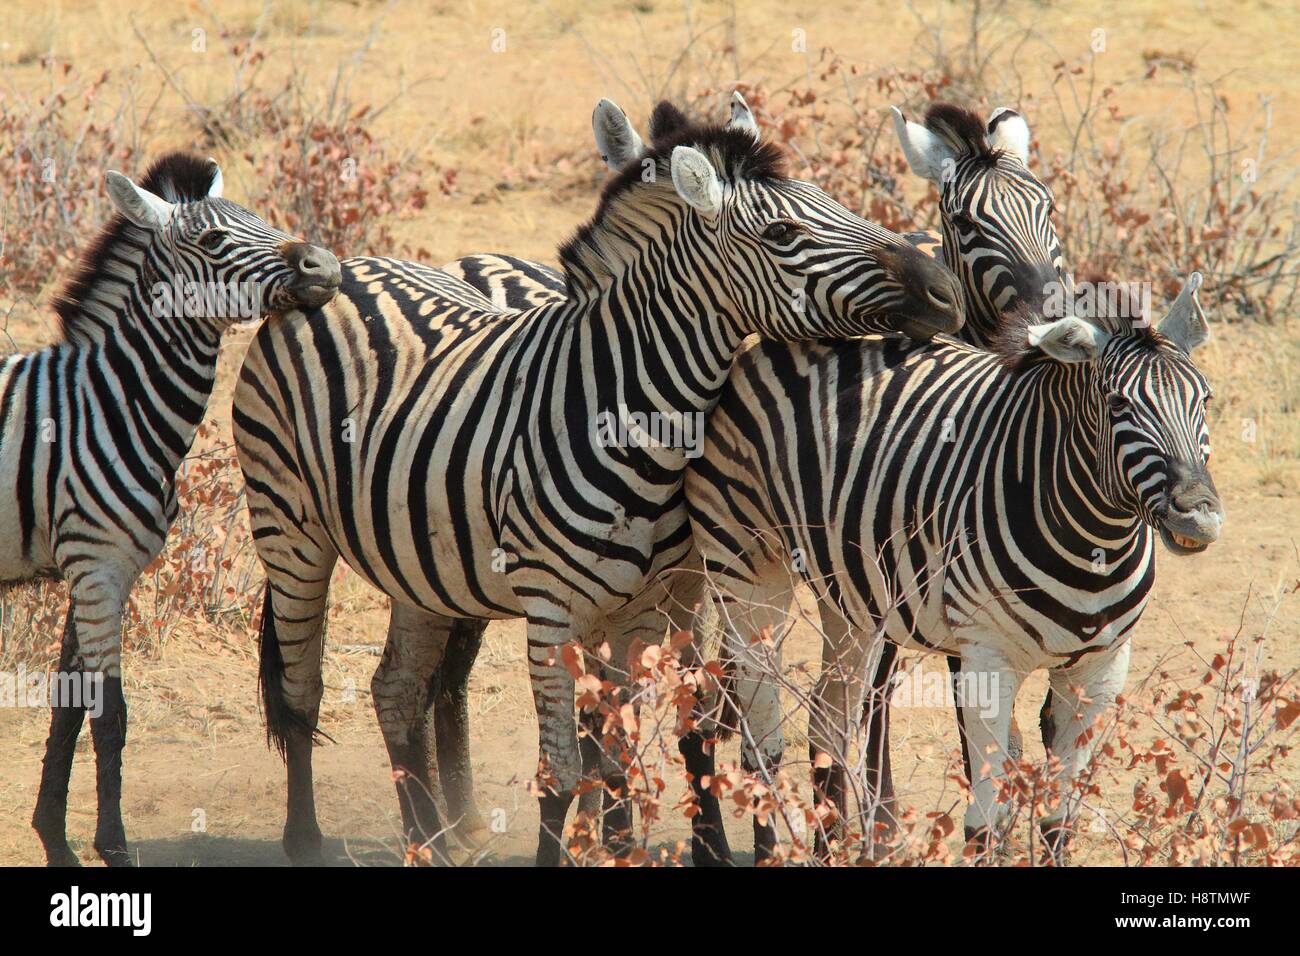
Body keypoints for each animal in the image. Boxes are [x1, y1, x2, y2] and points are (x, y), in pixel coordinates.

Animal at [0, 152, 341, 866]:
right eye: (211, 240)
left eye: (261, 217)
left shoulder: (93, 568)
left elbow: (67, 707)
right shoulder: (97, 570)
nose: (325, 264)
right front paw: (112, 849)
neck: (112, 403)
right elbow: (109, 717)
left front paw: (54, 841)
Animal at [233, 97, 965, 866]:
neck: (626, 415)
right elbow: (563, 768)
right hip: (289, 529)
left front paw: (621, 843)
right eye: (783, 233)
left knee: (396, 688)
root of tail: (349, 268)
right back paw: (307, 838)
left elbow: (618, 749)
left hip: (421, 560)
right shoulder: (554, 611)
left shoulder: (645, 606)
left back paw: (428, 840)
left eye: (836, 203)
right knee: (301, 687)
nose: (945, 291)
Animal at [683, 271, 1221, 861]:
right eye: (1118, 403)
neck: (1093, 542)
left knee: (828, 720)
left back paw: (832, 848)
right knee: (761, 730)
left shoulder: (1101, 667)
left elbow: (1060, 819)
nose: (1198, 515)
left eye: (1205, 399)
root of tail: (773, 338)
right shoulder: (986, 658)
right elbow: (983, 819)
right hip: (746, 567)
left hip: (850, 594)